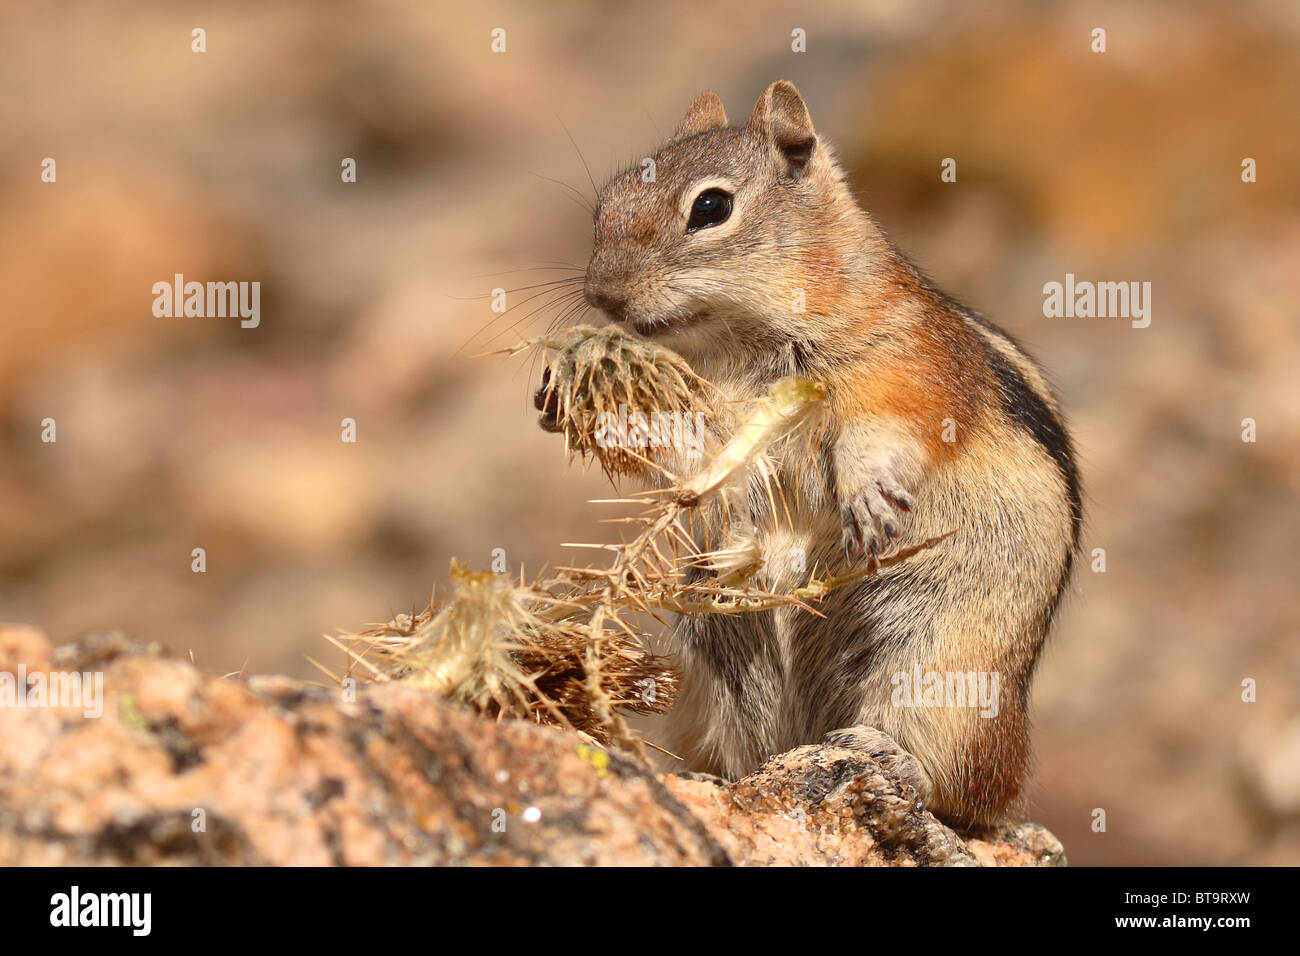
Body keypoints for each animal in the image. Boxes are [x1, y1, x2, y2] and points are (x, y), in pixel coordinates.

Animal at [535, 81, 1081, 828]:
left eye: (711, 207)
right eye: (607, 202)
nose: (602, 294)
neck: (741, 338)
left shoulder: (906, 364)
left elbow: (883, 432)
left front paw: (867, 498)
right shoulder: (711, 407)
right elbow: (696, 465)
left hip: (948, 668)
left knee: (964, 788)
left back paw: (885, 757)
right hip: (721, 661)